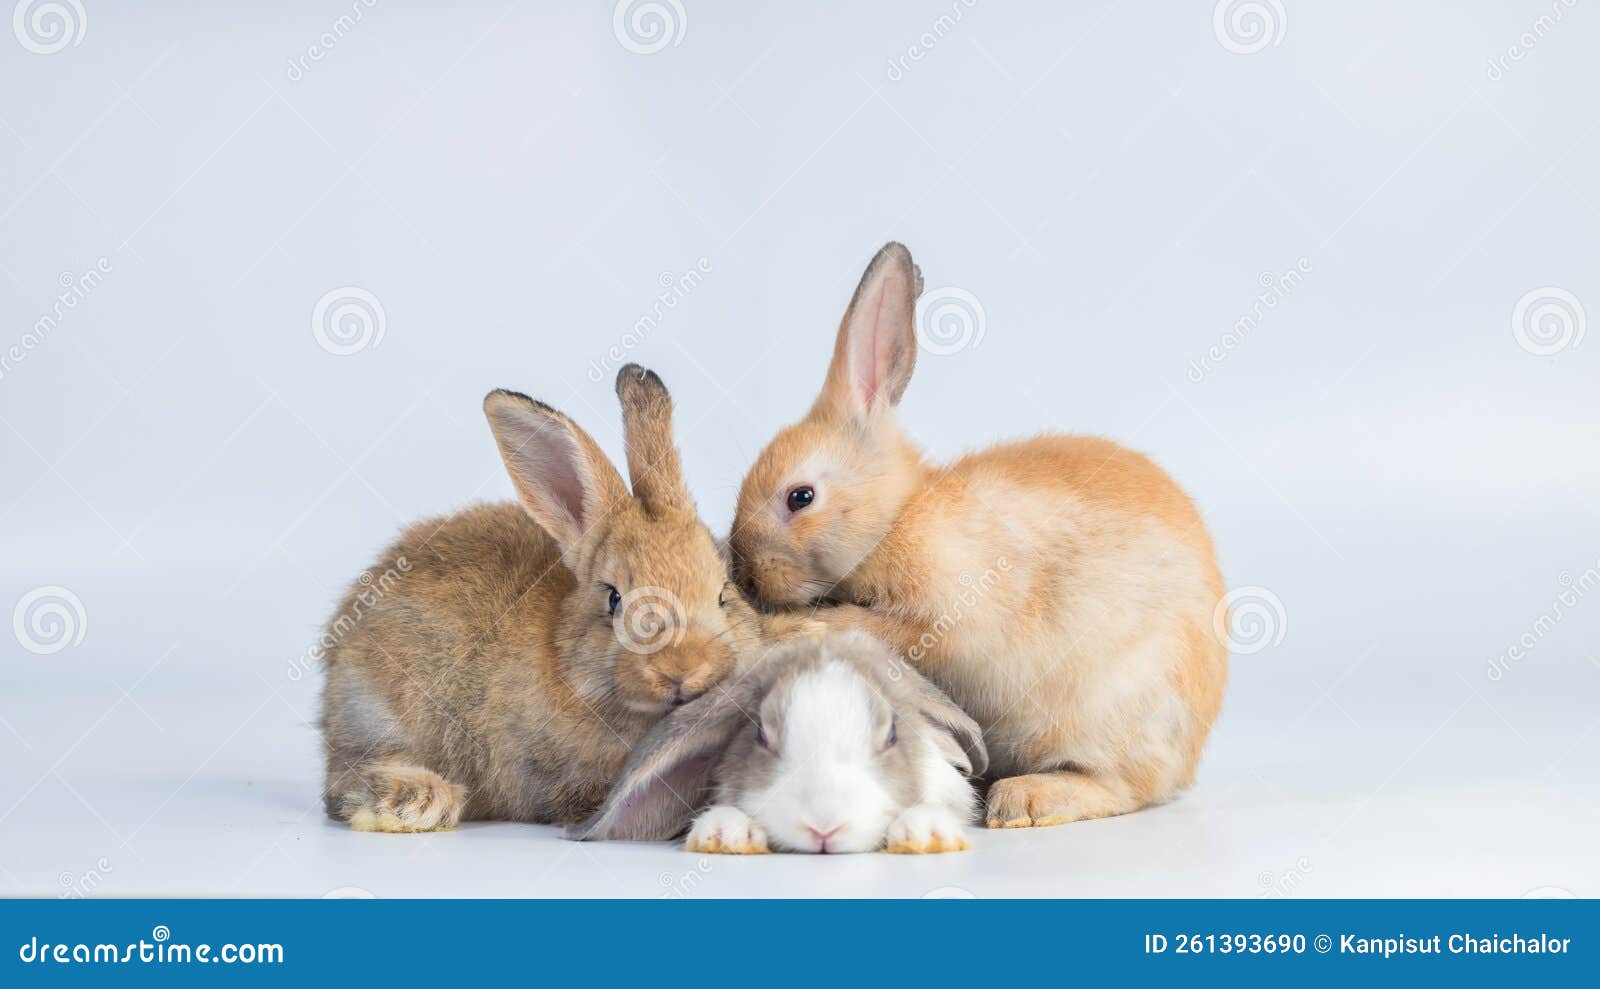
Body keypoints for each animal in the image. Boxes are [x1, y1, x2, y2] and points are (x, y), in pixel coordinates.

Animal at [726, 242, 1229, 830]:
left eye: (800, 497)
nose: (746, 576)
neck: (895, 518)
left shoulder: (949, 617)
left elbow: (880, 629)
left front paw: (797, 627)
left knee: (1122, 785)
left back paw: (1023, 800)